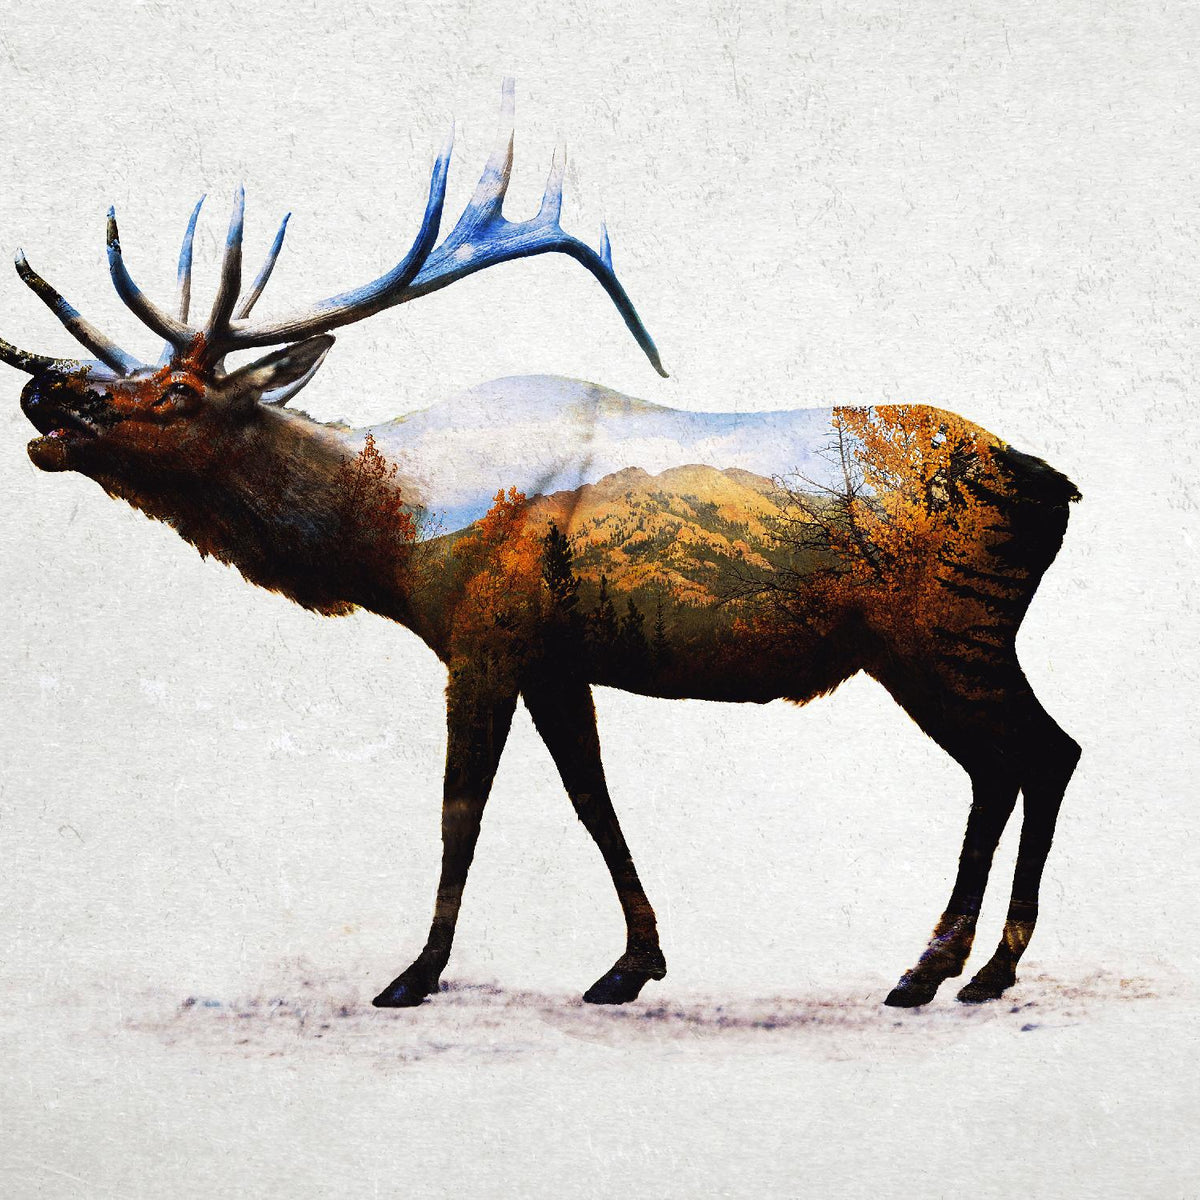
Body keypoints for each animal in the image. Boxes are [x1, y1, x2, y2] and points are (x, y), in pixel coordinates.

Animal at [4, 80, 1080, 1011]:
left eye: (178, 390)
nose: (47, 390)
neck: (393, 531)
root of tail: (1053, 484)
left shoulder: (484, 633)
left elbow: (460, 809)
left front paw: (414, 973)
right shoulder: (559, 658)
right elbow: (592, 799)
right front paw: (632, 963)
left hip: (941, 631)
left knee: (1036, 754)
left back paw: (950, 969)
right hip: (949, 640)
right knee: (1023, 760)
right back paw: (965, 968)